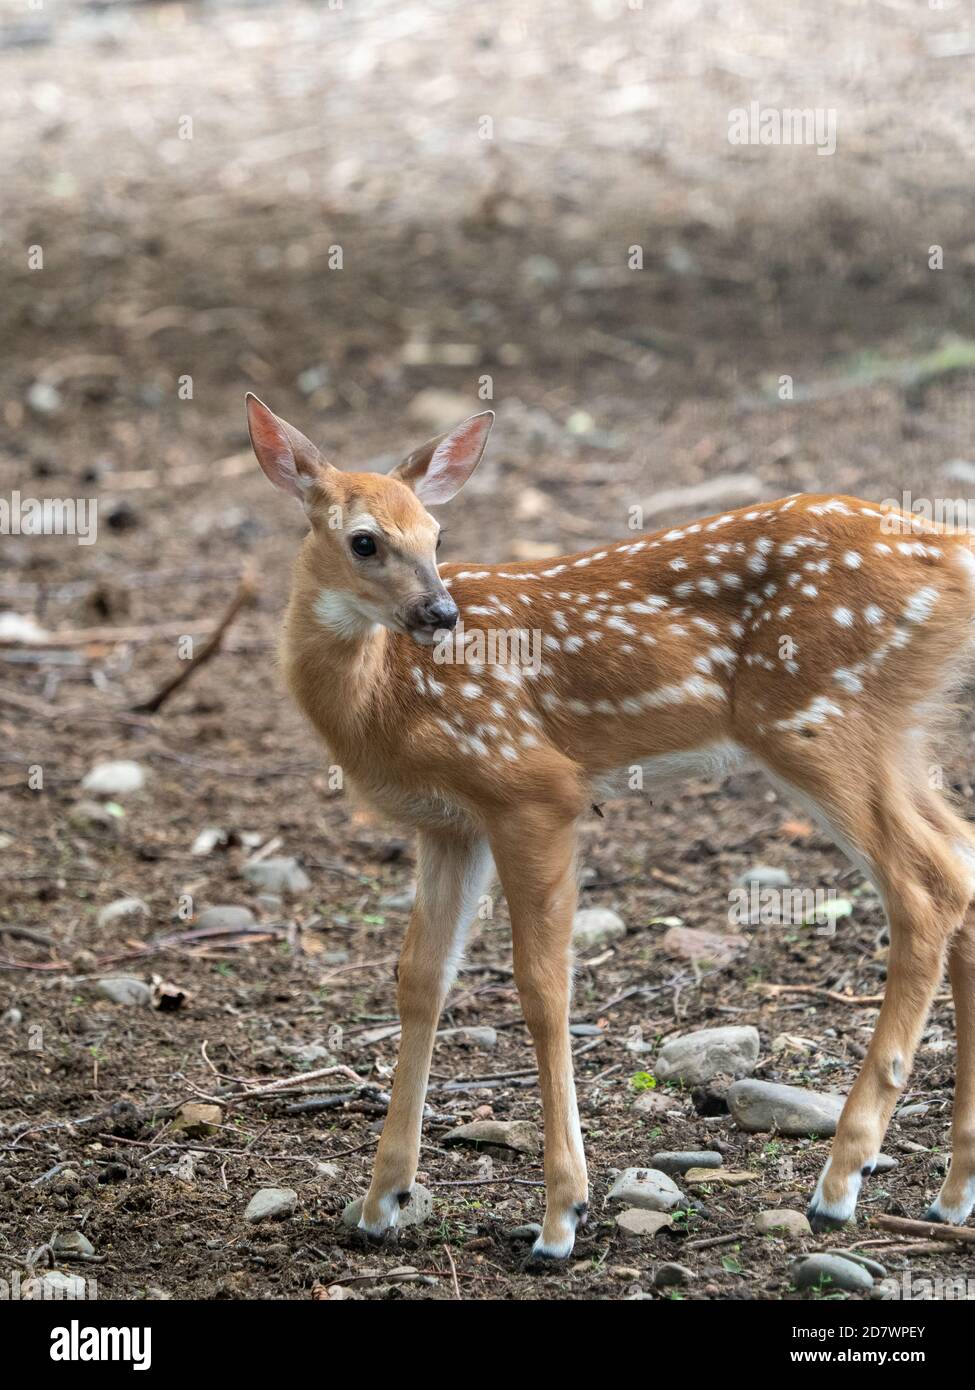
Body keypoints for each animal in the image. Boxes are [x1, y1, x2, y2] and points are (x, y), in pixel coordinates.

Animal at [246, 392, 975, 1260]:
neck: (384, 699)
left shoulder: (530, 787)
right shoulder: (447, 824)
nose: (439, 612)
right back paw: (950, 1193)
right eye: (365, 540)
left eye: (435, 535)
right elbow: (420, 981)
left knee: (926, 888)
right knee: (962, 865)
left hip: (820, 720)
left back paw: (839, 1184)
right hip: (896, 732)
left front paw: (562, 1216)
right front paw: (379, 1201)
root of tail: (954, 551)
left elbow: (542, 987)